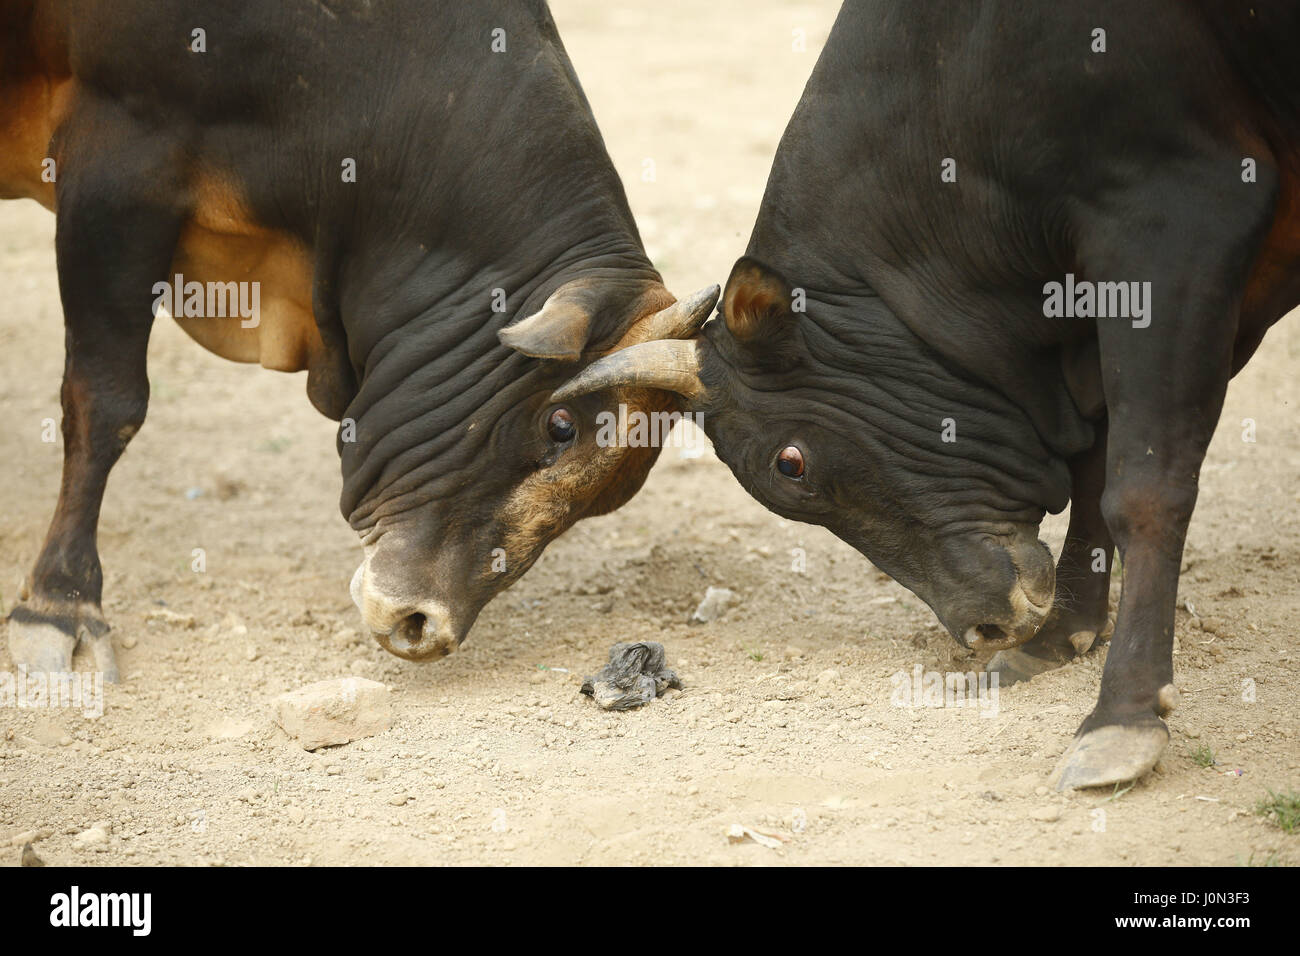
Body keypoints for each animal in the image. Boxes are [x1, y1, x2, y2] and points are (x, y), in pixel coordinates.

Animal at [555, 0, 1300, 788]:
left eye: (790, 464)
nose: (985, 626)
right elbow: (1098, 466)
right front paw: (1061, 635)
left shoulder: (1175, 222)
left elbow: (1141, 488)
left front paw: (1121, 714)